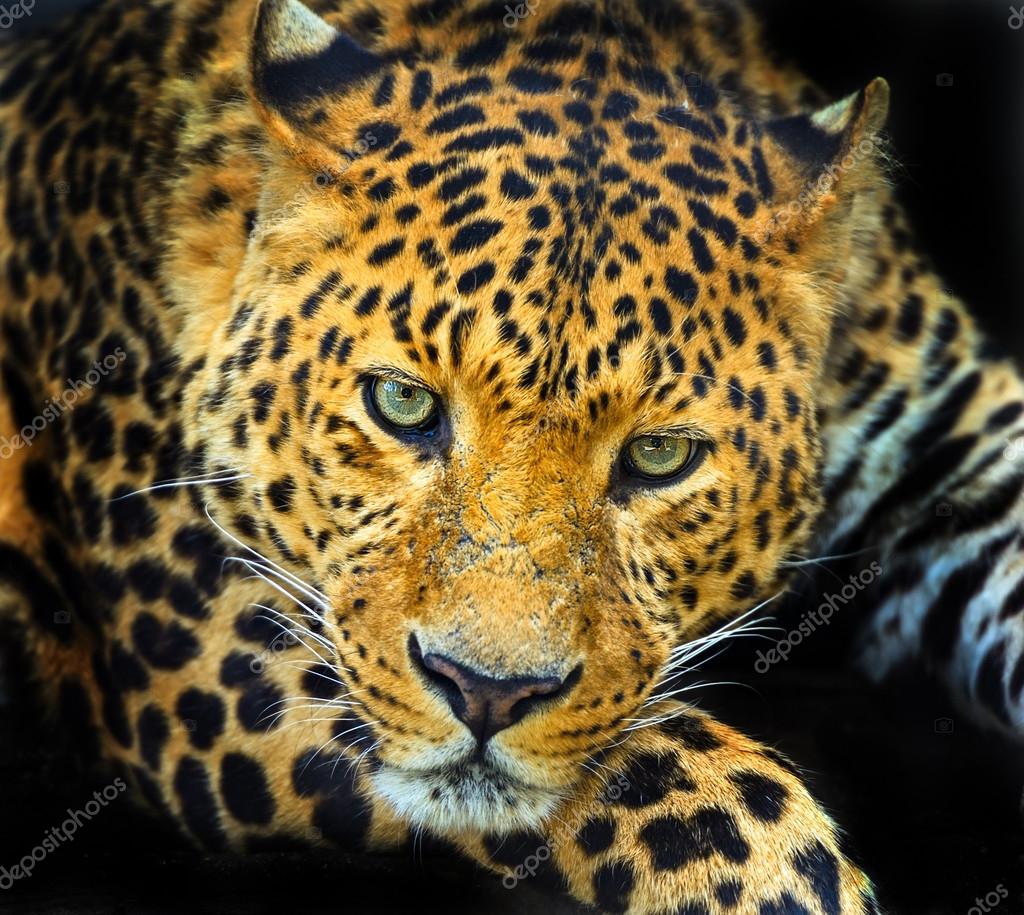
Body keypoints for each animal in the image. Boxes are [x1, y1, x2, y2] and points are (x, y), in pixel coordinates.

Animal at [1, 0, 1022, 912]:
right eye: (404, 403)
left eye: (659, 456)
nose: (488, 694)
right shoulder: (194, 609)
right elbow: (692, 791)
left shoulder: (961, 450)